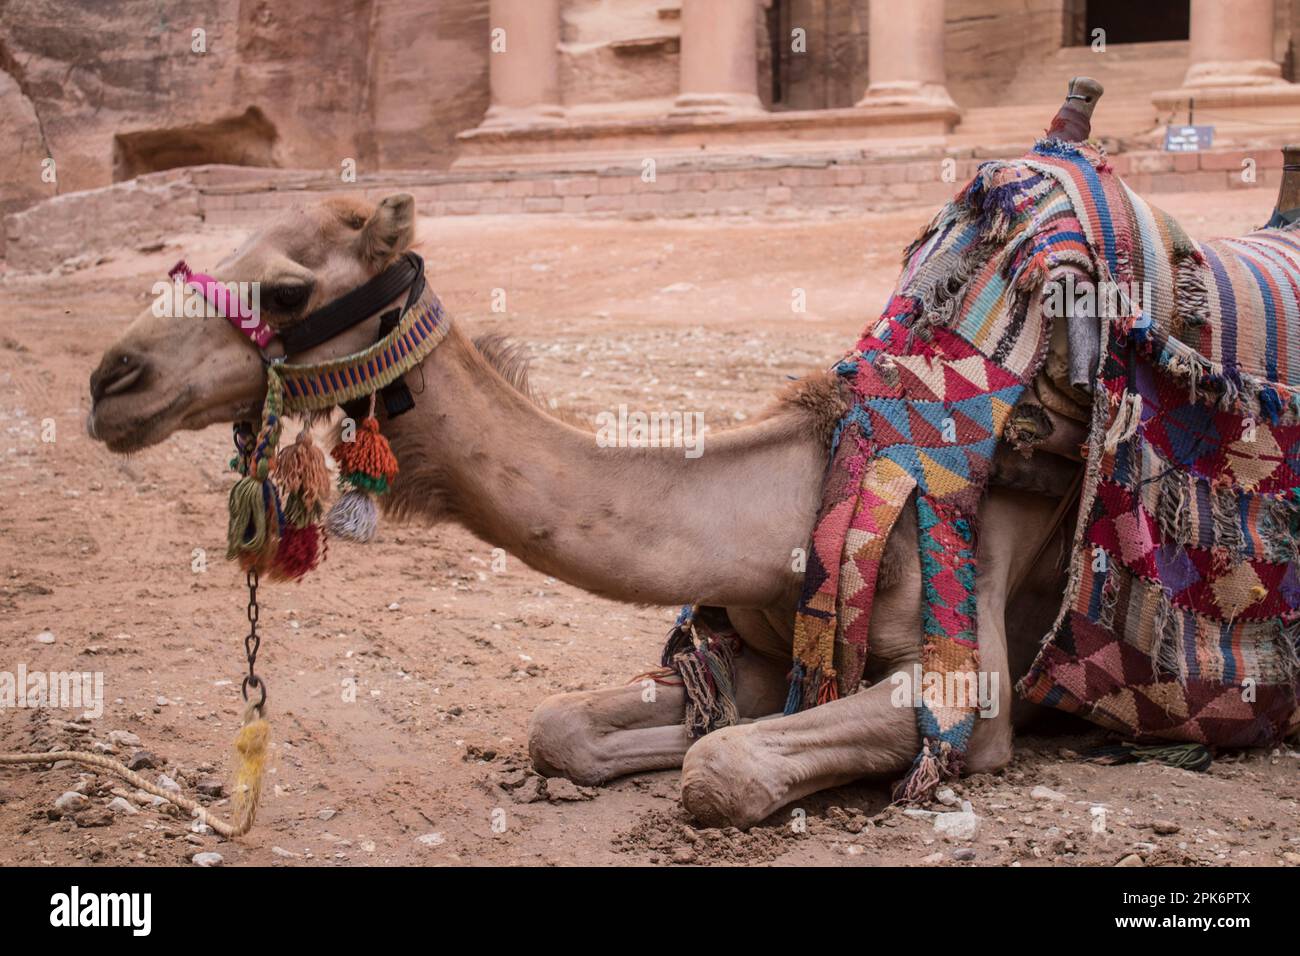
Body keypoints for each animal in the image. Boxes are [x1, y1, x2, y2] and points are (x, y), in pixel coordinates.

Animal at [87, 188, 1094, 829]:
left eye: (289, 288)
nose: (111, 380)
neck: (796, 494)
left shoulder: (970, 685)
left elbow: (720, 767)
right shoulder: (766, 646)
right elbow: (566, 727)